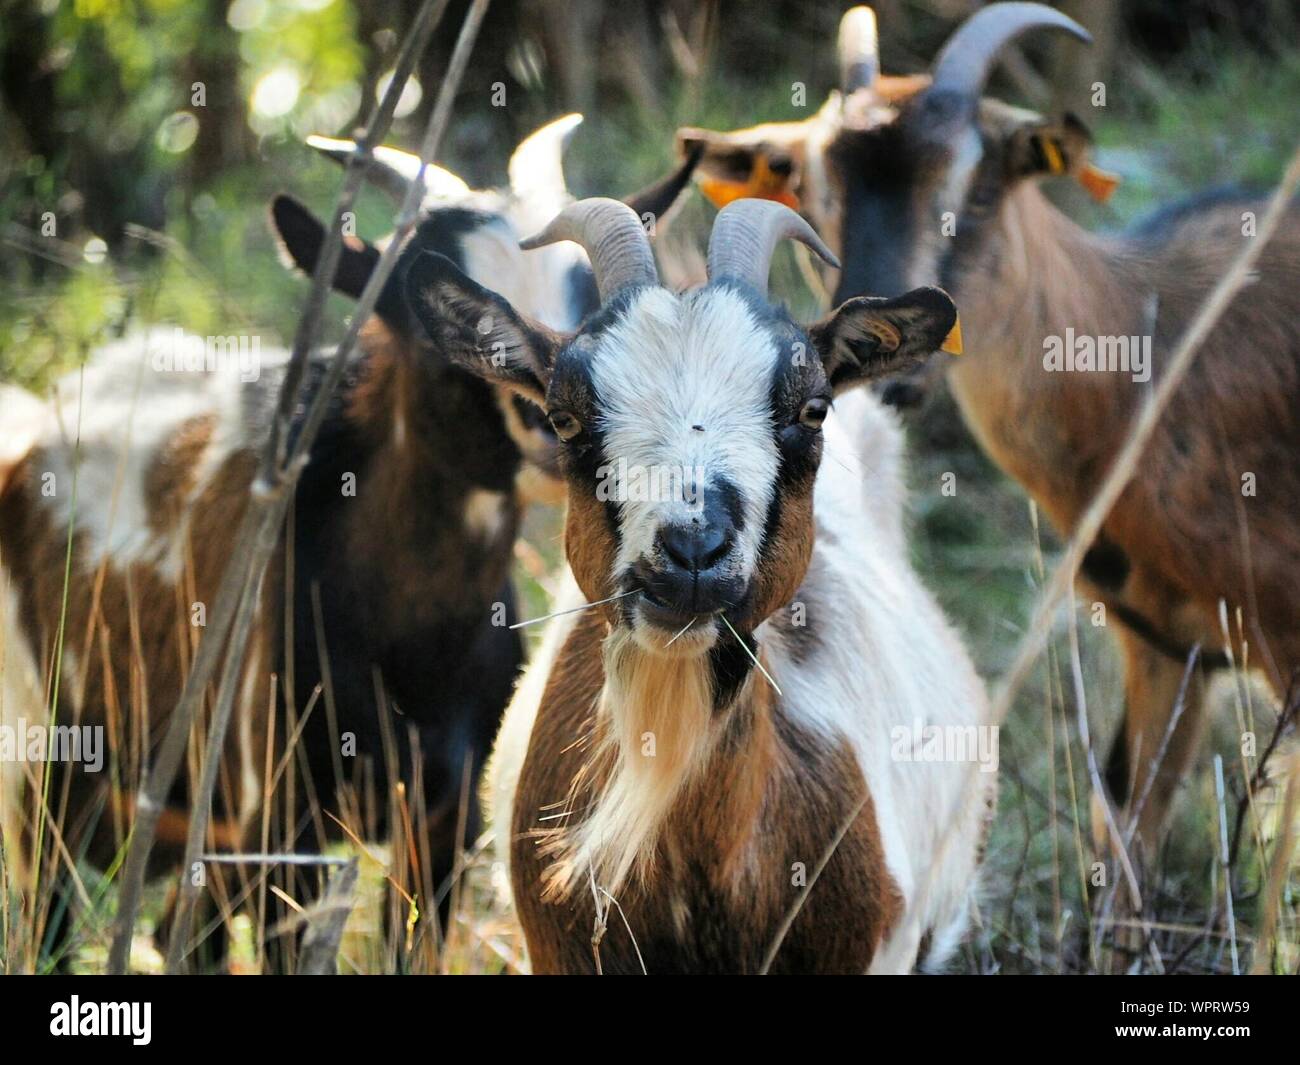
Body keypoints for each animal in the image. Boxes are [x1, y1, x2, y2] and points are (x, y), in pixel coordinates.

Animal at [0, 115, 695, 970]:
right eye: (430, 313)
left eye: (592, 299)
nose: (555, 420)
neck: (411, 639)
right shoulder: (280, 823)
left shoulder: (443, 818)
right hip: (46, 771)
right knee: (47, 918)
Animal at [676, 3, 1300, 855]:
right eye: (809, 189)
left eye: (974, 192)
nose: (881, 359)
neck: (1154, 350)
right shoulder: (1163, 645)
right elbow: (1122, 832)